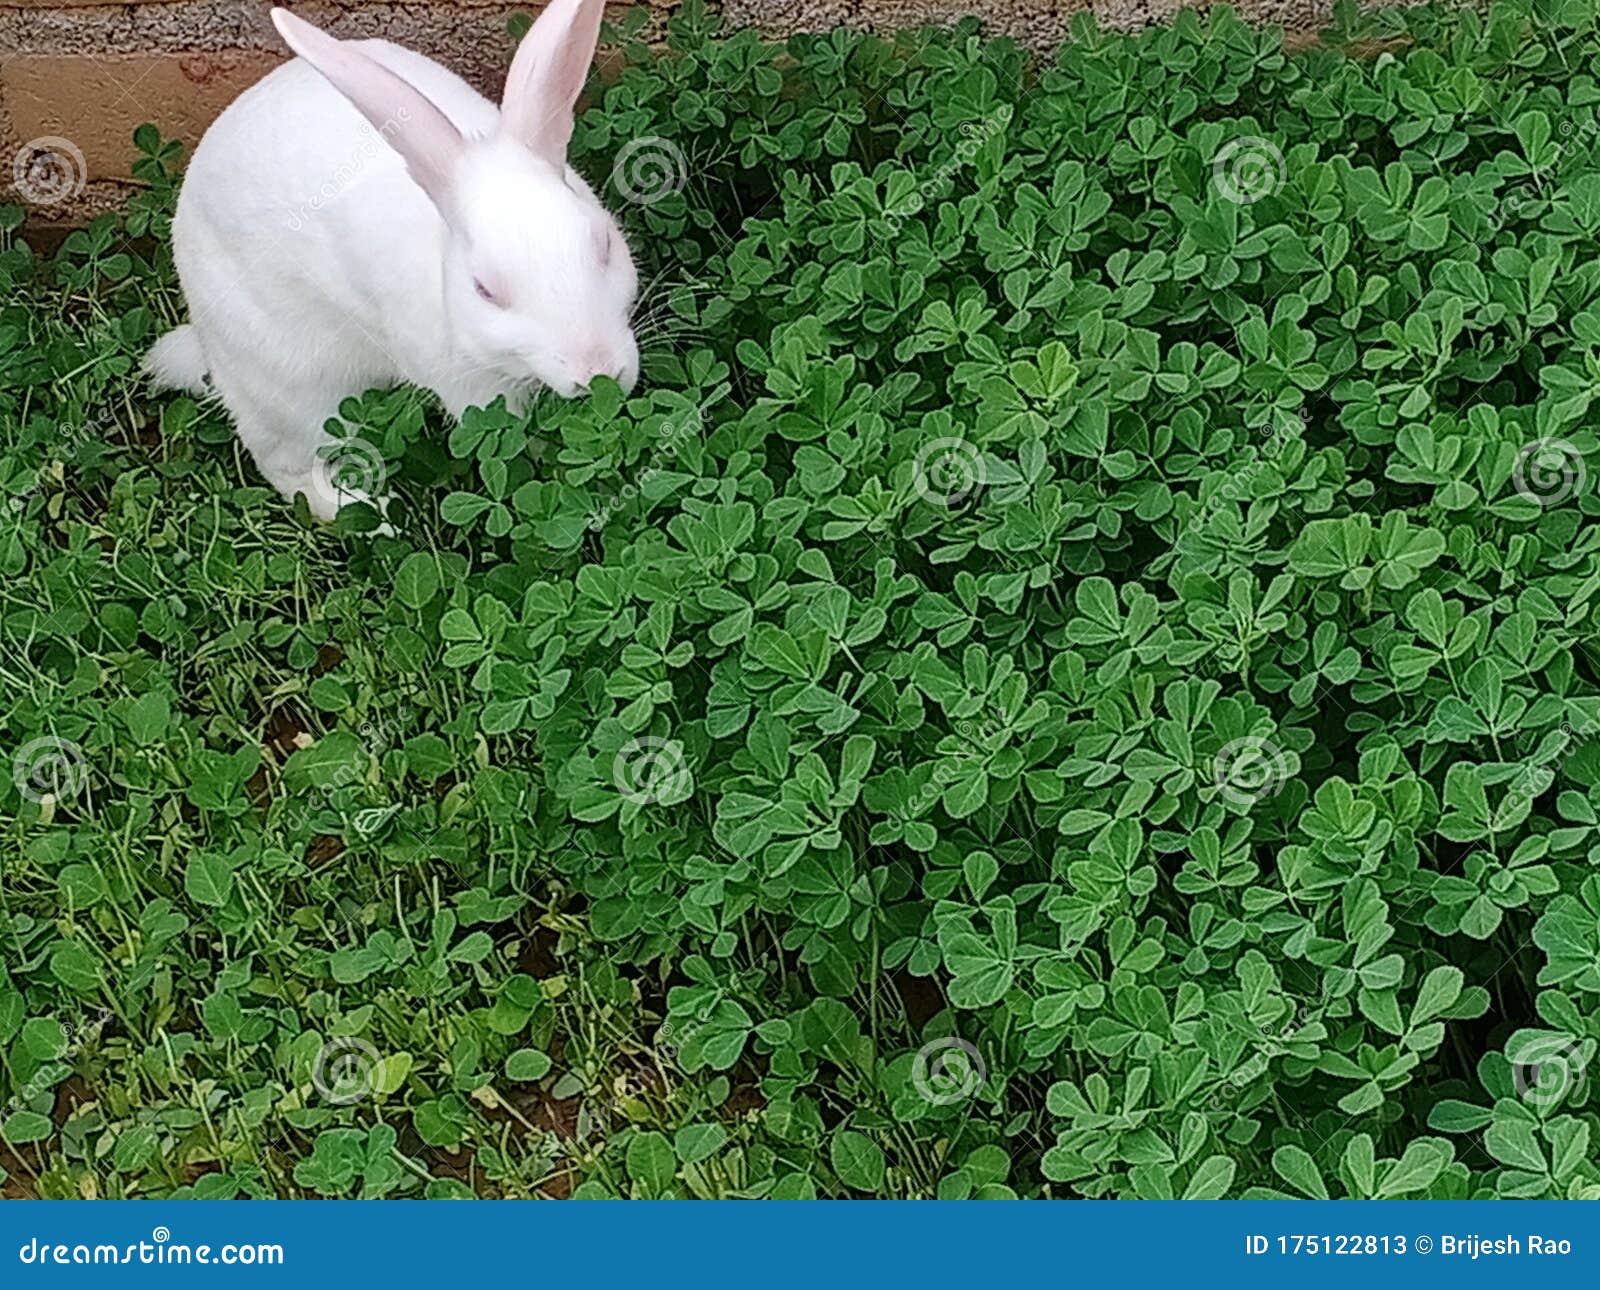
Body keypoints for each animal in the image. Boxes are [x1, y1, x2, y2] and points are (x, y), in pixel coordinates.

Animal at [145, 1, 640, 524]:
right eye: (484, 290)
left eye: (604, 244)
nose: (598, 372)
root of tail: (207, 346)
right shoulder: (467, 386)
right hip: (289, 387)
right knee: (291, 468)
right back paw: (371, 515)